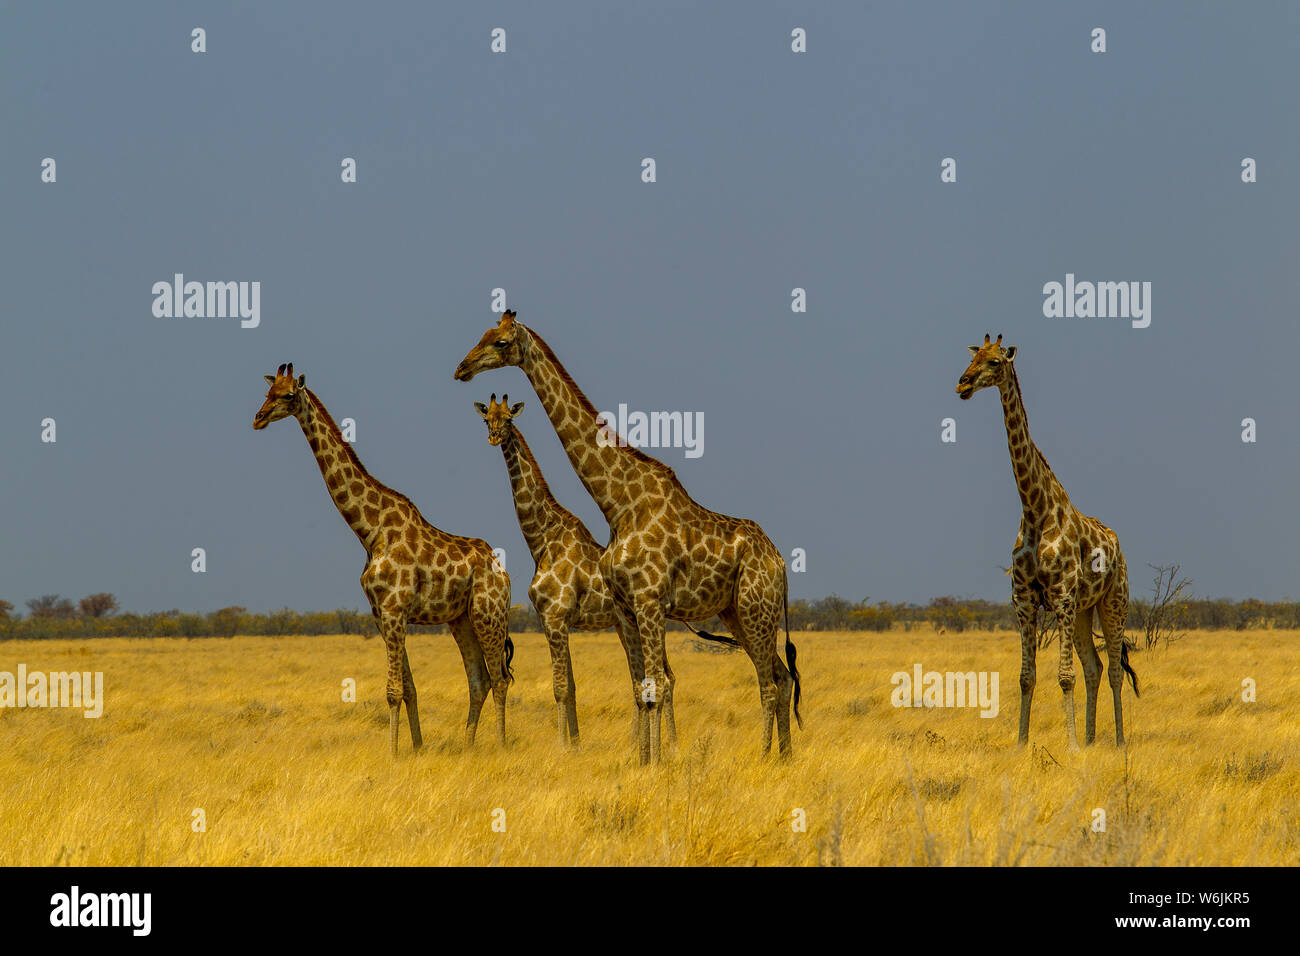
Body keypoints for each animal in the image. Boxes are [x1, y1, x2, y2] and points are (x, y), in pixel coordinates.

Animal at [252, 363, 513, 755]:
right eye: (267, 393)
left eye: (287, 395)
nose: (258, 418)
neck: (369, 531)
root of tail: (505, 574)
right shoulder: (381, 613)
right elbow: (409, 689)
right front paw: (417, 748)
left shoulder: (394, 609)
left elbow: (393, 691)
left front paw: (393, 755)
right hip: (461, 619)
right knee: (479, 680)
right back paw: (468, 747)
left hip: (489, 613)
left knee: (499, 679)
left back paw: (499, 745)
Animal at [475, 393, 700, 747]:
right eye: (487, 419)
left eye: (508, 419)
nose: (494, 436)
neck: (542, 539)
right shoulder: (552, 620)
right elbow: (571, 687)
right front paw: (576, 745)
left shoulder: (555, 617)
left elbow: (560, 688)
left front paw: (562, 747)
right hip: (629, 624)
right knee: (656, 678)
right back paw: (650, 743)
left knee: (662, 678)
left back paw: (665, 744)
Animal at [955, 335, 1139, 749]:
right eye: (972, 357)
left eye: (994, 362)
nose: (962, 384)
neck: (1035, 509)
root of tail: (1118, 546)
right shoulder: (1024, 599)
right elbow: (1027, 677)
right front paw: (1022, 744)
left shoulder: (1063, 596)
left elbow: (1064, 676)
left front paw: (1068, 746)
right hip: (1086, 609)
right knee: (1095, 666)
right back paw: (1090, 740)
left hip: (1113, 601)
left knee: (1114, 669)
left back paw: (1118, 741)